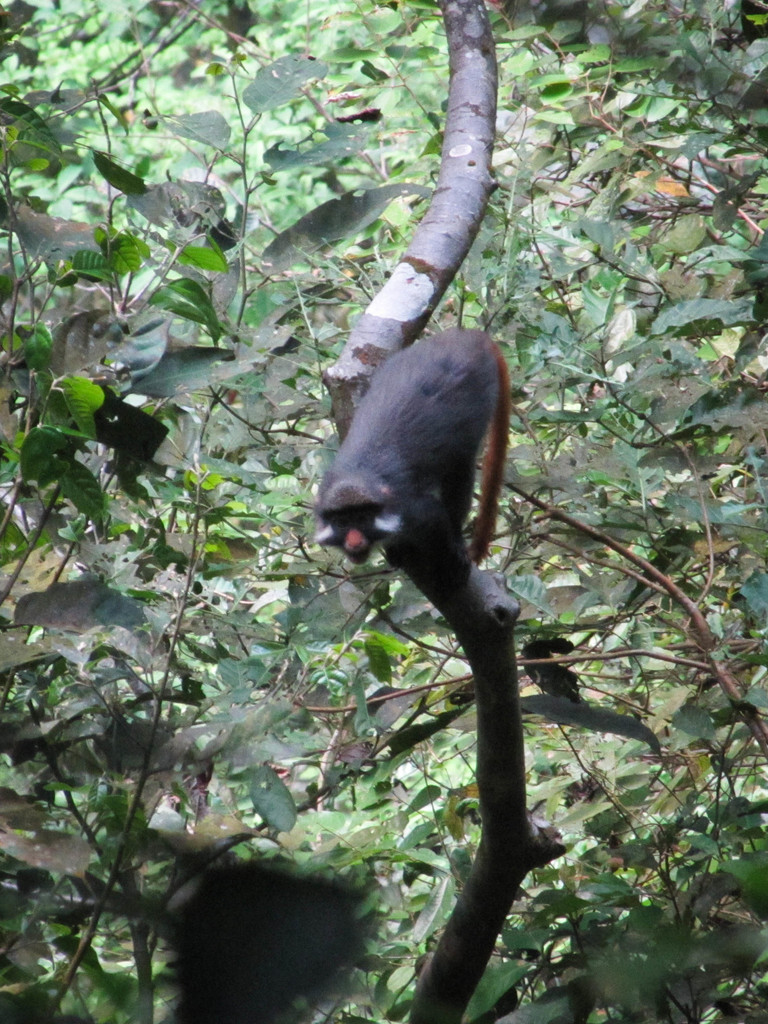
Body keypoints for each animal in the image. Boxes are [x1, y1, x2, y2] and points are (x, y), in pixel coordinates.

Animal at [315, 328, 510, 588]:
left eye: (363, 517)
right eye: (342, 523)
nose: (354, 541)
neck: (356, 474)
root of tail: (469, 337)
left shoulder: (412, 511)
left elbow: (436, 516)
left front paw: (452, 550)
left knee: (460, 467)